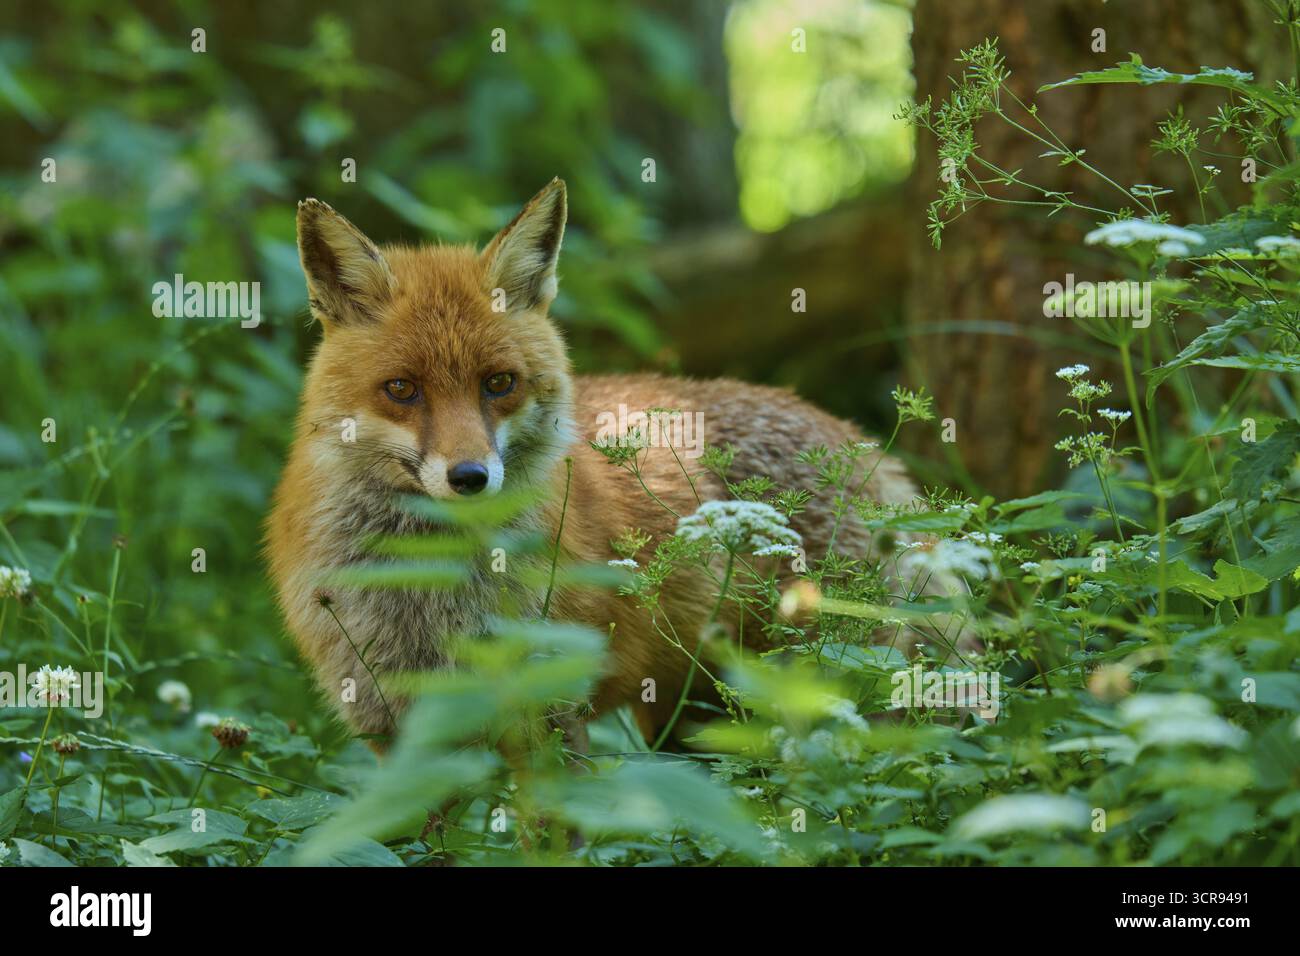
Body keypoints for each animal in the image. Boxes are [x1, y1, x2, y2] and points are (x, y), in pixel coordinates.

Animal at [266, 178, 958, 750]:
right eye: (402, 389)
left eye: (499, 383)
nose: (470, 478)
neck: (429, 592)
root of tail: (859, 441)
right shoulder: (386, 725)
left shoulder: (548, 712)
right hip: (691, 717)